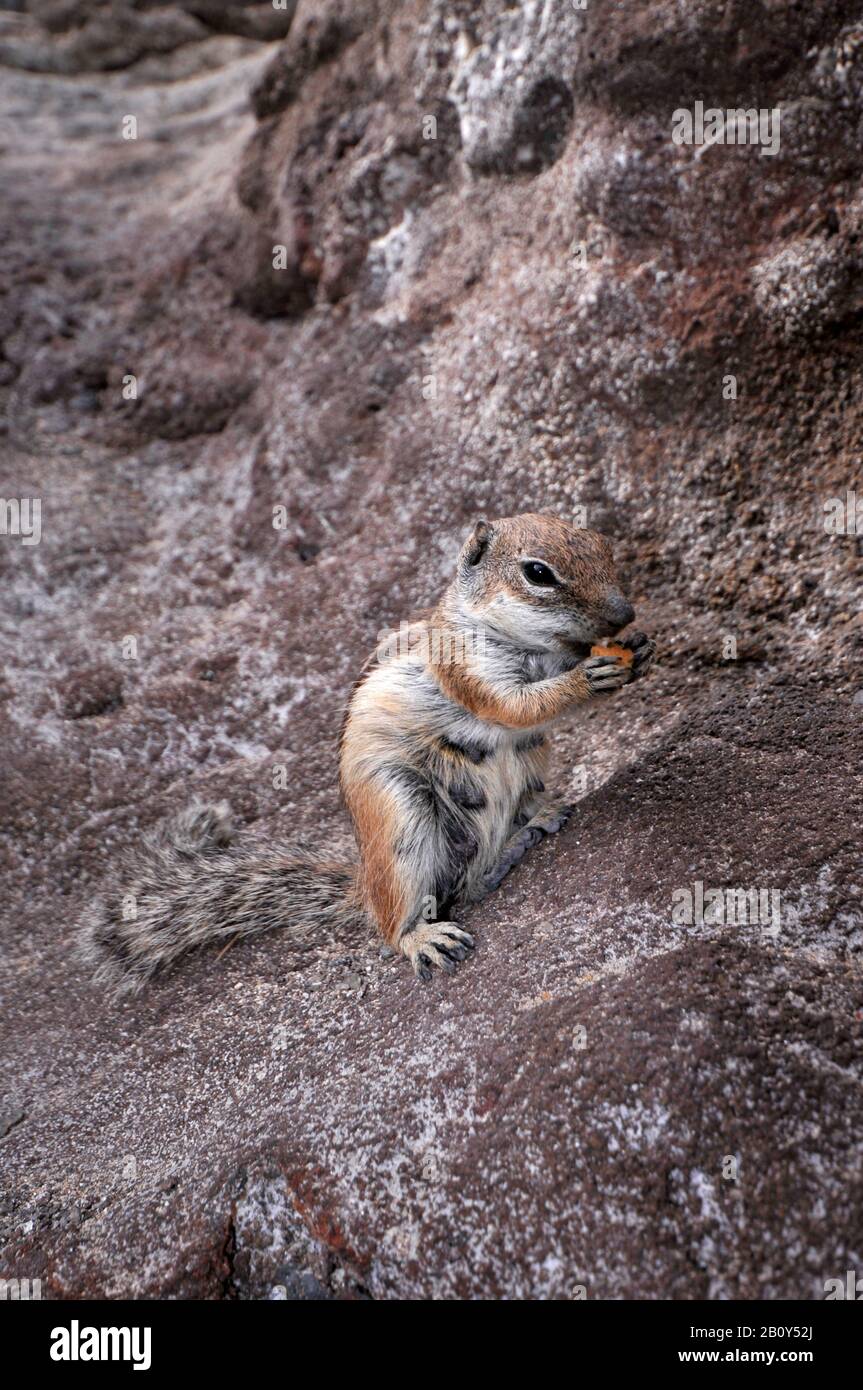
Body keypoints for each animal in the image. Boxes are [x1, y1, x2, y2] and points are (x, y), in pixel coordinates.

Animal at [80, 513, 655, 991]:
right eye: (538, 573)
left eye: (602, 544)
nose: (624, 612)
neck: (538, 649)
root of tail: (365, 885)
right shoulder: (467, 671)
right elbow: (517, 705)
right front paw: (587, 678)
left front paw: (639, 649)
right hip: (399, 815)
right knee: (410, 915)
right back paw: (424, 935)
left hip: (530, 765)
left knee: (476, 876)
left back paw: (531, 826)